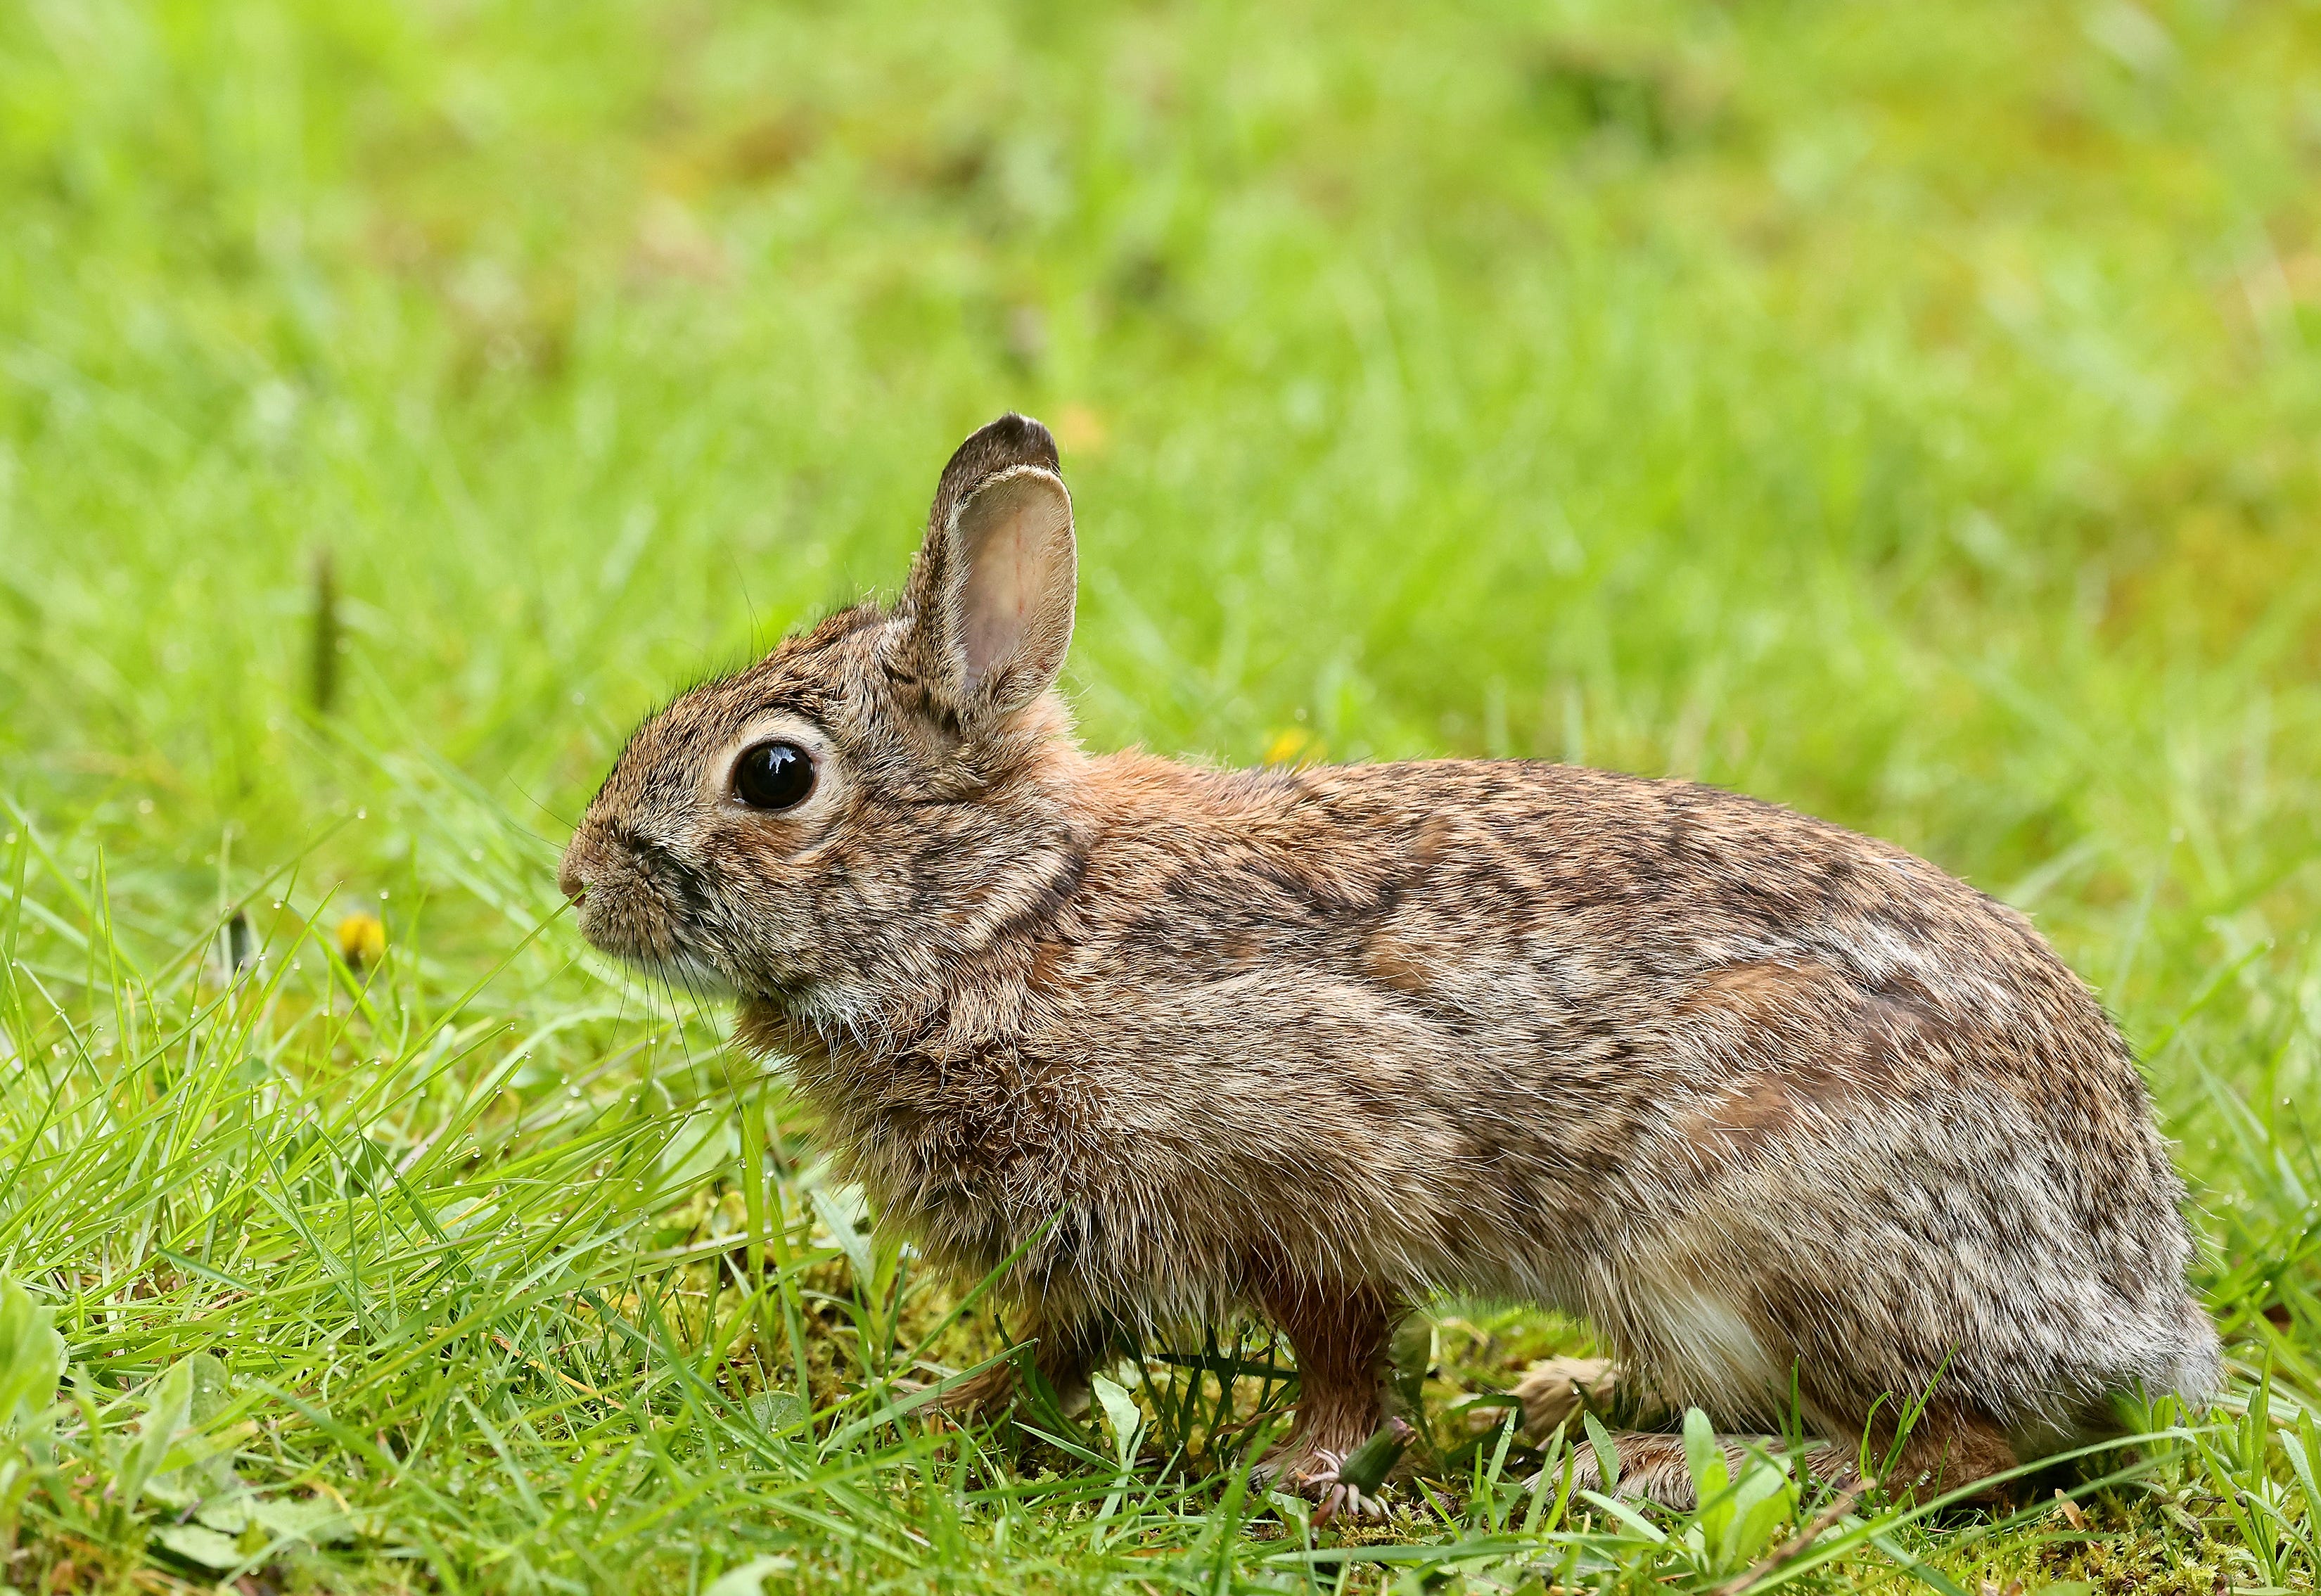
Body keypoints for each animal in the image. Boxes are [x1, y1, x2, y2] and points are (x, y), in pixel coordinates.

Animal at [559, 413, 2221, 1520]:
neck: (1004, 912)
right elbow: (1066, 1344)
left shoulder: (1313, 1163)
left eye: (776, 777)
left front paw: (1303, 1470)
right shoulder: (1096, 1237)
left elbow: (1343, 1341)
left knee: (1961, 1447)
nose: (580, 885)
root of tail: (2131, 1288)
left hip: (1747, 1218)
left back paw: (1664, 1464)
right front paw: (931, 1413)